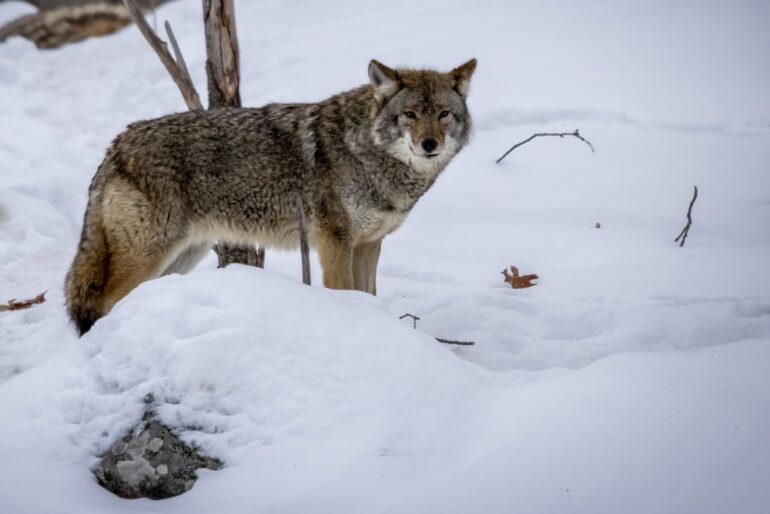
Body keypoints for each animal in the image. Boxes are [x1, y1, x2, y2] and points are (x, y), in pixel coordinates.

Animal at [64, 58, 477, 335]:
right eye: (410, 115)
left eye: (443, 114)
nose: (429, 144)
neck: (368, 152)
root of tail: (116, 145)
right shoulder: (335, 241)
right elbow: (345, 291)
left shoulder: (369, 243)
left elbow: (369, 294)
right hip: (150, 255)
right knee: (102, 303)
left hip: (180, 257)